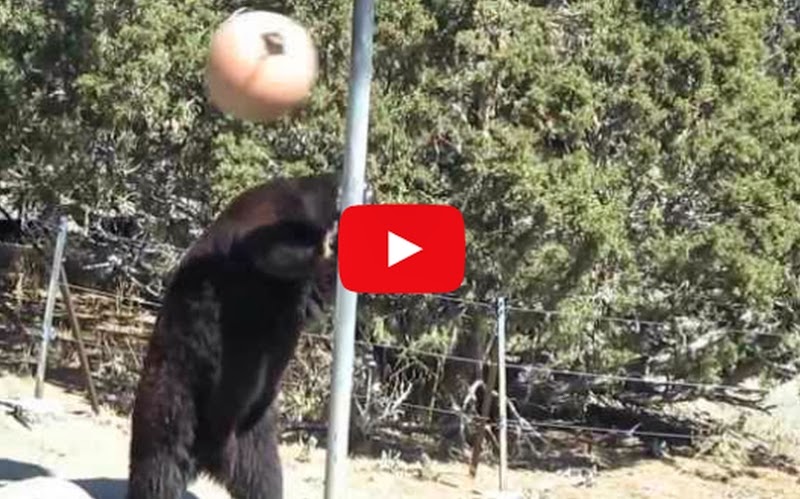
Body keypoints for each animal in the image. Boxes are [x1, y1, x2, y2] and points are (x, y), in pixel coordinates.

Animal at [126, 173, 341, 499]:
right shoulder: (264, 220)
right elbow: (268, 250)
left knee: (263, 475)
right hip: (175, 396)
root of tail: (209, 455)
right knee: (158, 463)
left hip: (252, 429)